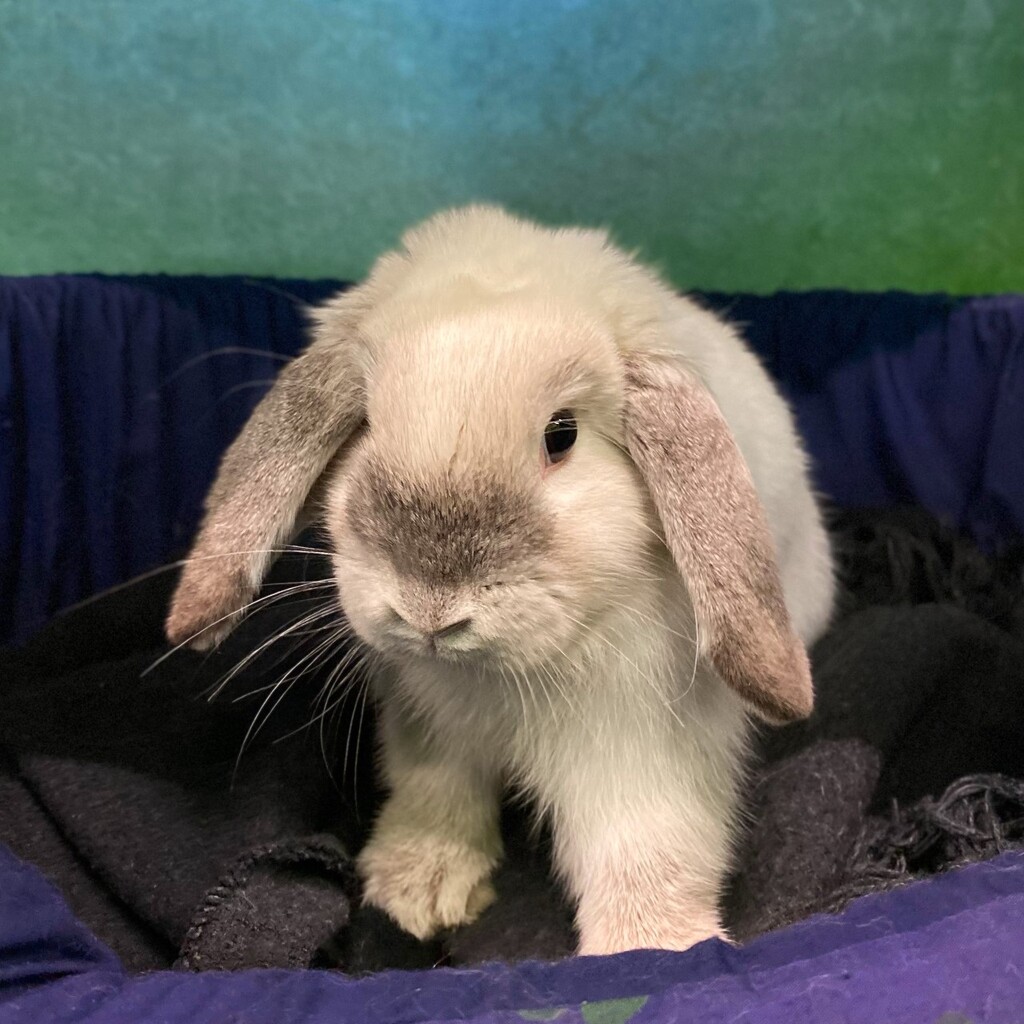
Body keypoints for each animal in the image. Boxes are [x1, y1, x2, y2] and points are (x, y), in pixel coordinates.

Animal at [166, 204, 835, 956]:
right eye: (365, 424)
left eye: (561, 435)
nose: (429, 613)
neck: (498, 678)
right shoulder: (430, 734)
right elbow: (437, 798)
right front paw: (418, 890)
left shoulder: (642, 752)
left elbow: (646, 846)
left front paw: (649, 947)